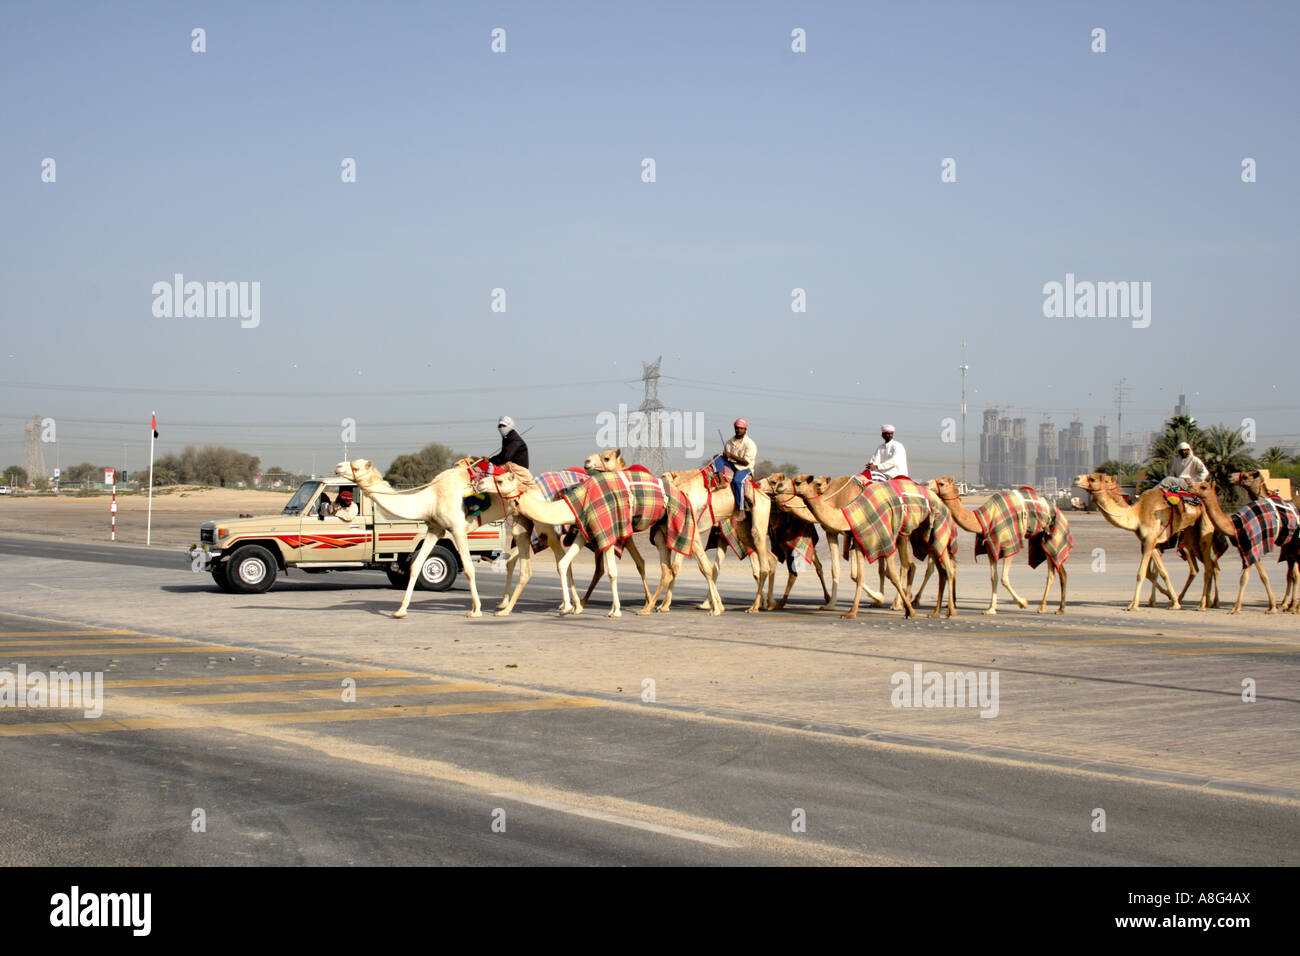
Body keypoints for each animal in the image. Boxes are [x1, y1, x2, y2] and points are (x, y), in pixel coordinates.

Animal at [336, 458, 514, 618]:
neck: (431, 500)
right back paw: (503, 604)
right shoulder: (435, 529)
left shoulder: (458, 529)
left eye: (357, 467)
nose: (338, 467)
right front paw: (401, 611)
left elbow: (469, 568)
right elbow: (415, 566)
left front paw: (476, 610)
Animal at [476, 466, 721, 617]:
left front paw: (614, 610)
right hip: (661, 531)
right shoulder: (585, 531)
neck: (575, 502)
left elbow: (611, 571)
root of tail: (682, 493)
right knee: (666, 569)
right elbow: (564, 564)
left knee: (701, 565)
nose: (479, 484)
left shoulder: (607, 530)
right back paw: (649, 607)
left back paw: (713, 608)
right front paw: (569, 607)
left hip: (681, 522)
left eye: (499, 479)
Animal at [929, 477, 1069, 614]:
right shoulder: (991, 548)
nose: (927, 484)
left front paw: (1023, 603)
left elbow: (1004, 578)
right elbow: (993, 577)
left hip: (1052, 534)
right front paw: (990, 609)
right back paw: (1047, 607)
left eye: (941, 483)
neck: (983, 519)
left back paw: (1057, 609)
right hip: (1042, 540)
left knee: (1056, 570)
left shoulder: (1009, 546)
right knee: (1054, 572)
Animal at [1073, 473, 1219, 611]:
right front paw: (1174, 603)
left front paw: (1134, 605)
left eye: (1092, 479)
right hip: (1190, 537)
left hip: (1204, 531)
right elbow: (1162, 572)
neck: (1136, 514)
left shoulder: (1150, 540)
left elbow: (1141, 573)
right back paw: (1206, 602)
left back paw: (1203, 605)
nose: (1076, 479)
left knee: (1208, 567)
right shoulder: (1150, 542)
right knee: (1205, 567)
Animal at [1189, 480, 1300, 614]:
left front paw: (1271, 608)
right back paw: (1292, 606)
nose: (1190, 486)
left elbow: (1249, 576)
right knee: (1293, 573)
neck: (1235, 525)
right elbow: (1255, 576)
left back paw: (1294, 607)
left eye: (1203, 486)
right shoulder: (1247, 547)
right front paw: (1238, 608)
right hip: (1290, 544)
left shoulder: (1254, 544)